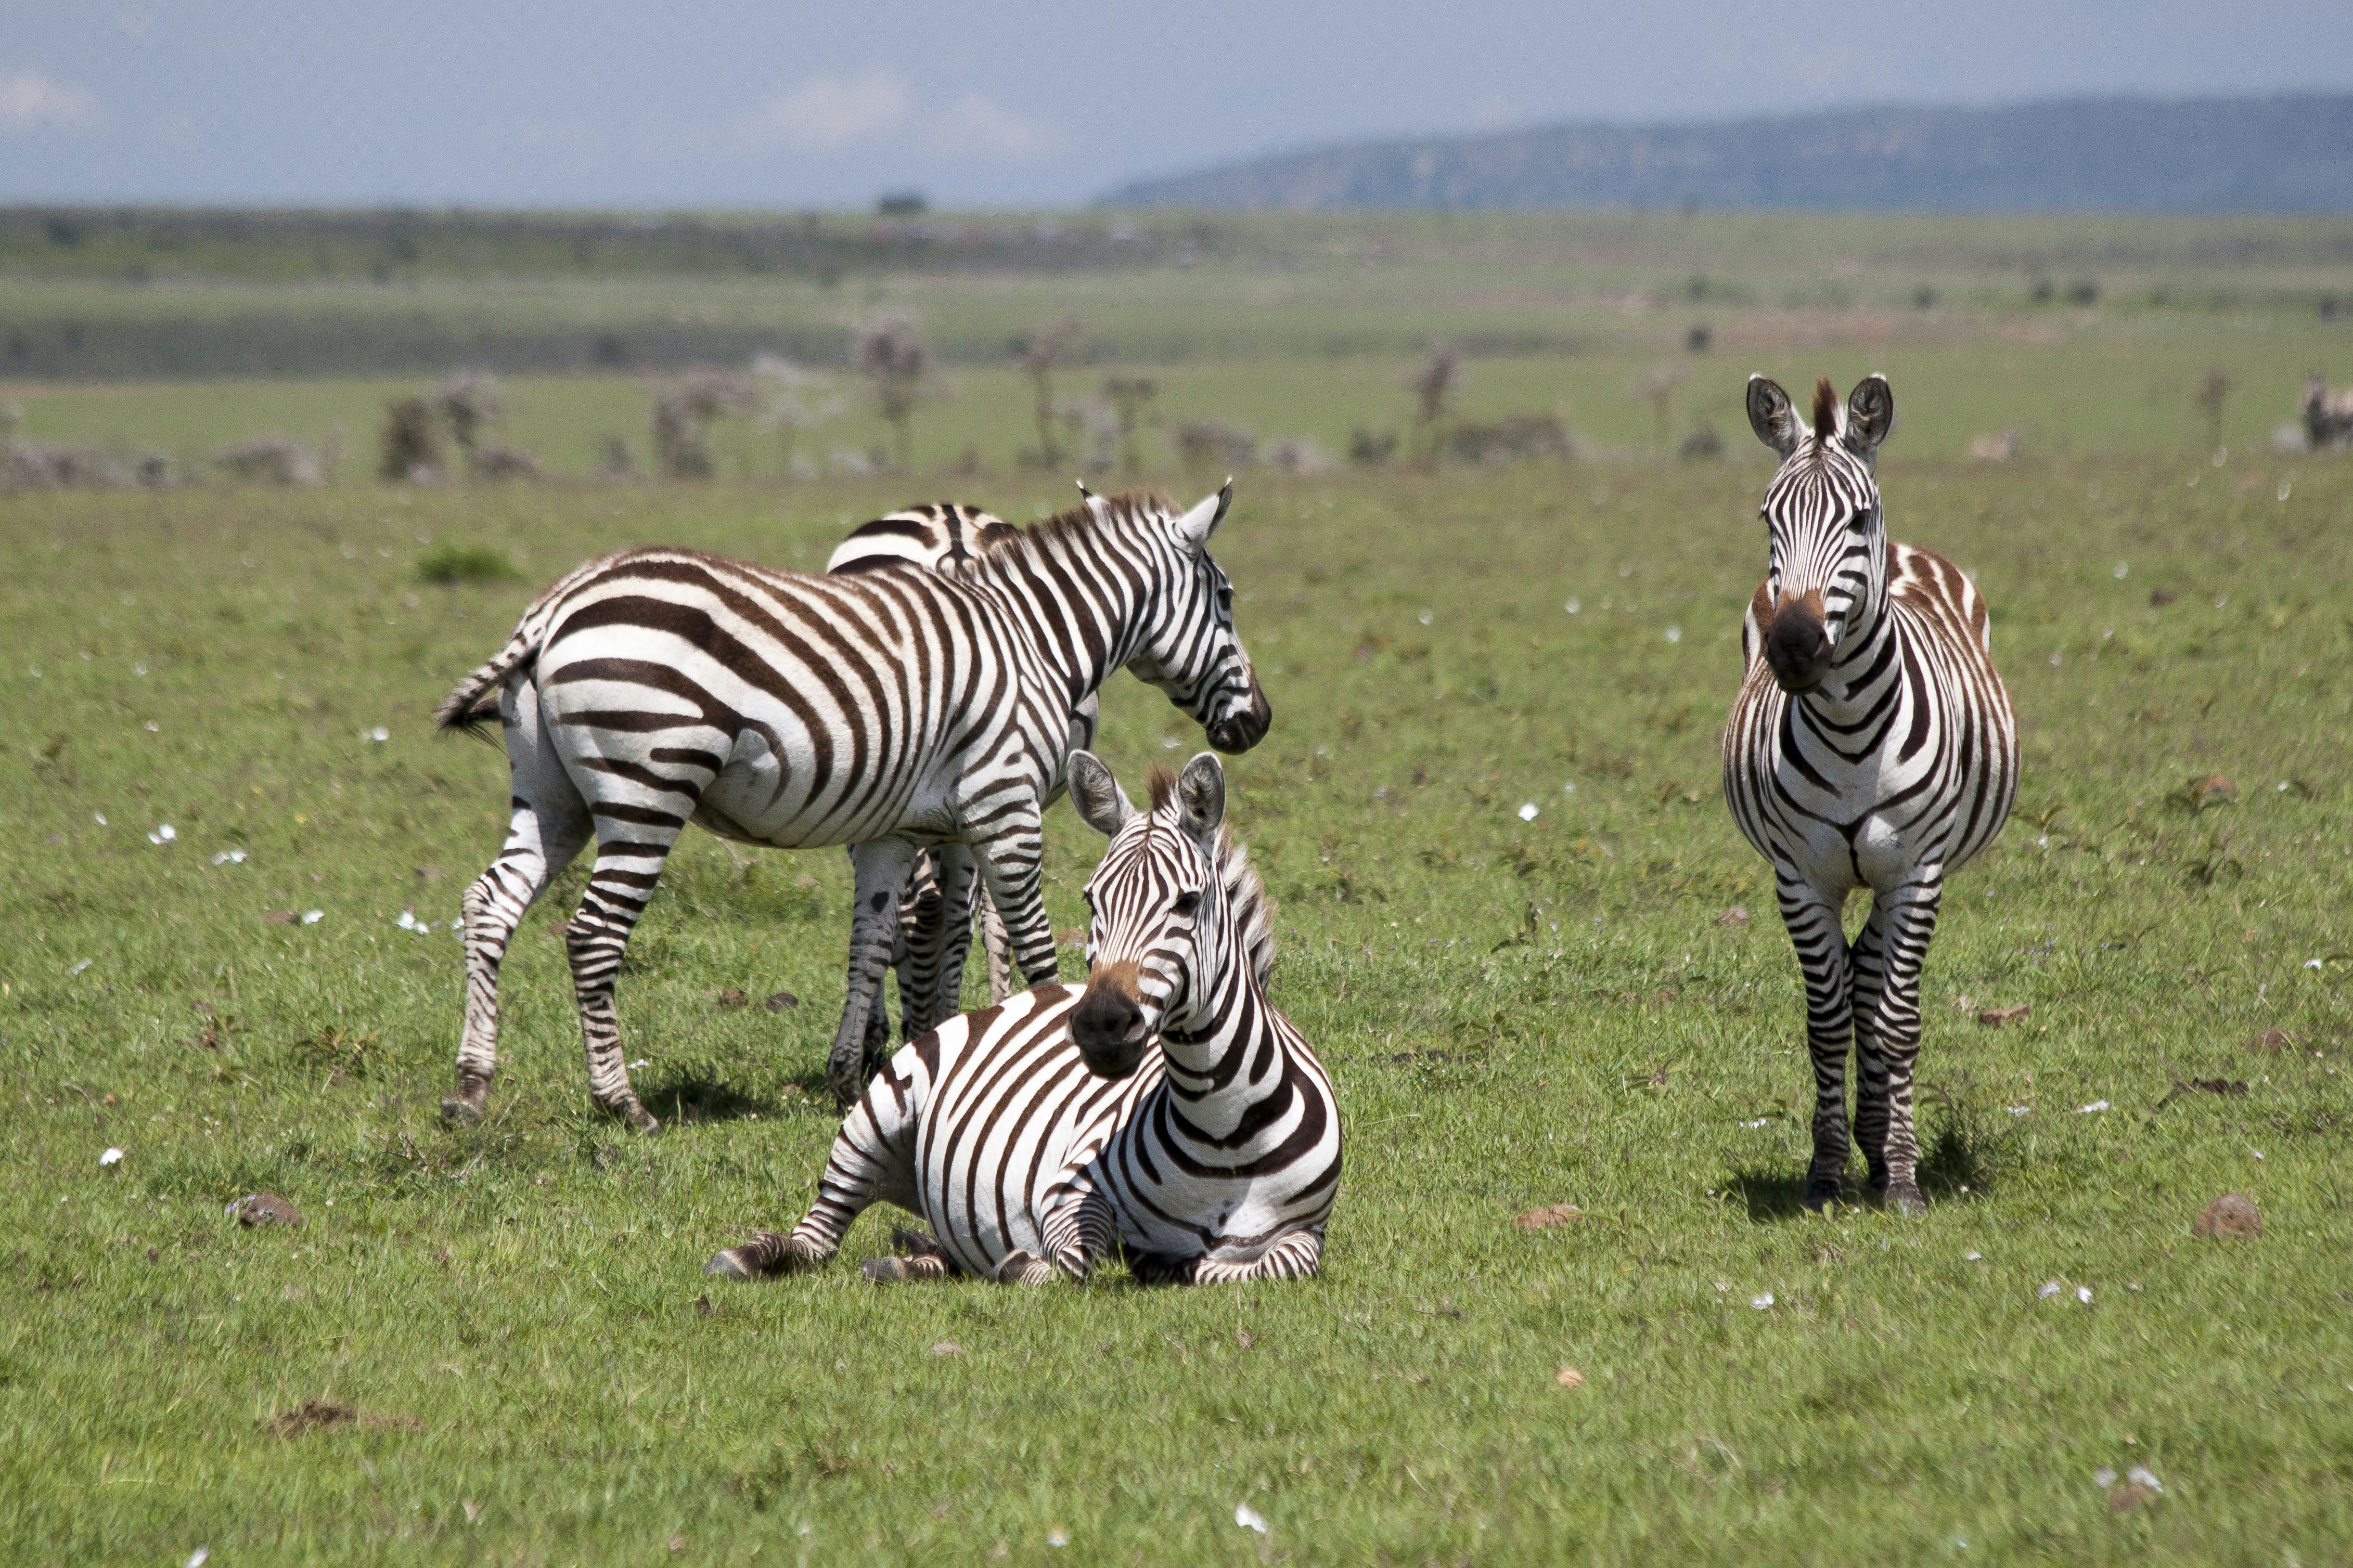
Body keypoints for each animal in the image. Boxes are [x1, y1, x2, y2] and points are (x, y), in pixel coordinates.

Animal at [705, 748, 1338, 1287]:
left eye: (1187, 902)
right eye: (1090, 900)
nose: (1100, 1025)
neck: (1223, 1135)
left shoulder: (1309, 1233)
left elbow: (1278, 1263)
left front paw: (1170, 1263)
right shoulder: (1067, 1190)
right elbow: (1076, 1260)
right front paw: (1034, 1264)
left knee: (938, 1249)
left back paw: (908, 1263)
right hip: (875, 1114)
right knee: (818, 1234)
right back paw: (748, 1256)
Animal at [1722, 374, 2018, 1214]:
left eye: (1854, 518)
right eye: (1767, 518)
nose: (1793, 648)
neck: (1851, 730)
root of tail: (1908, 549)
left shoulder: (1915, 873)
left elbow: (1898, 1023)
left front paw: (1902, 1175)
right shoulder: (1799, 877)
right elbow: (1825, 1023)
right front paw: (1826, 1171)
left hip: (1907, 870)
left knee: (1873, 978)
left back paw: (1883, 1147)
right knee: (1856, 973)